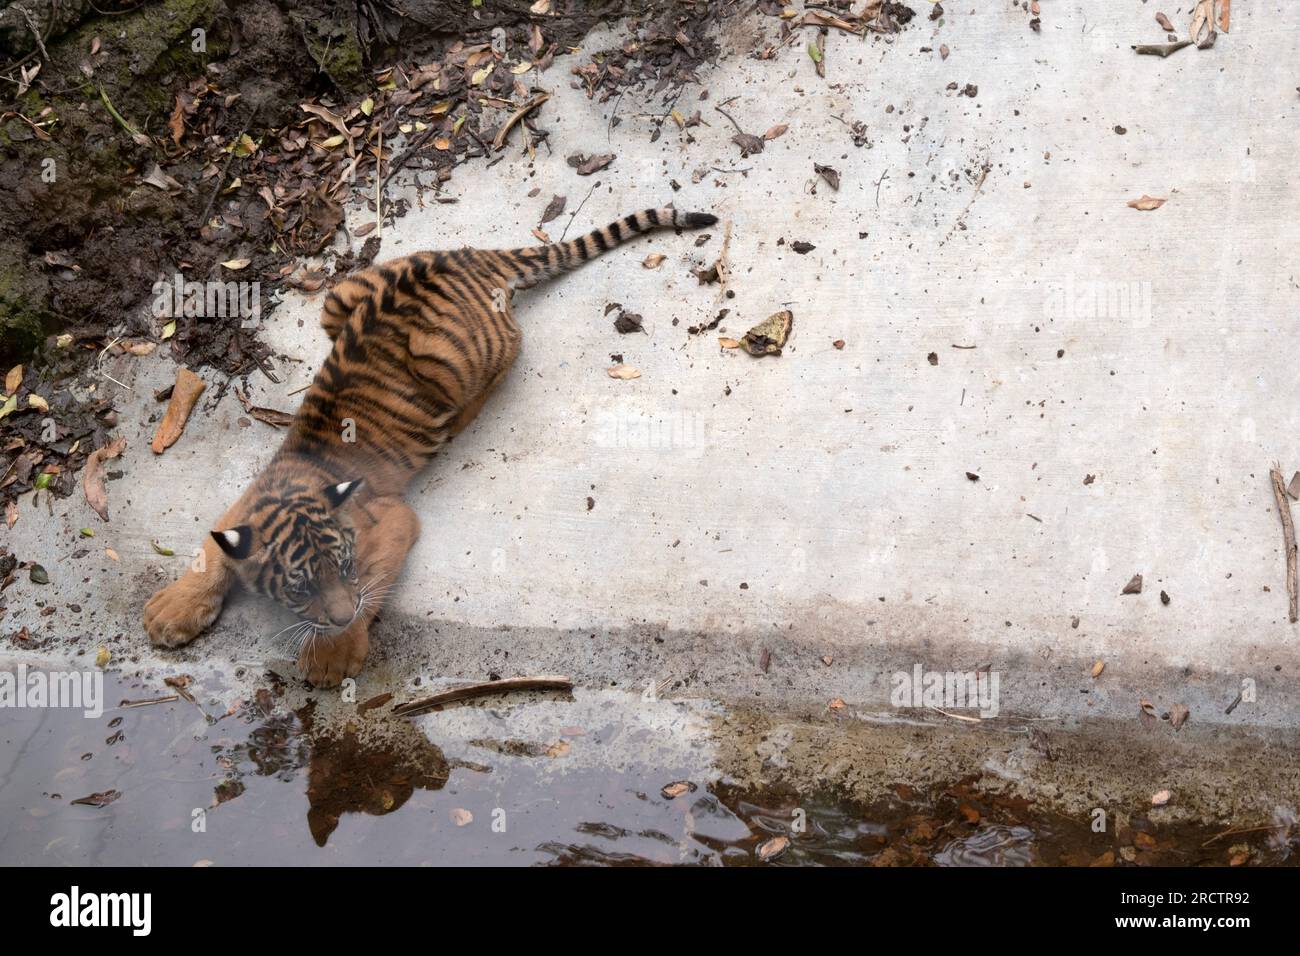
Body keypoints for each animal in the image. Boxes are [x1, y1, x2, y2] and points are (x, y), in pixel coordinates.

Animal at [143, 206, 718, 686]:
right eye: (299, 588)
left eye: (344, 568)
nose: (337, 616)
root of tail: (471, 256)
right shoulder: (240, 509)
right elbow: (210, 555)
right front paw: (170, 612)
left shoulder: (393, 520)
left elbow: (370, 585)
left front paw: (332, 655)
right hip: (339, 298)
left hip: (446, 355)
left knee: (515, 347)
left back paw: (457, 419)